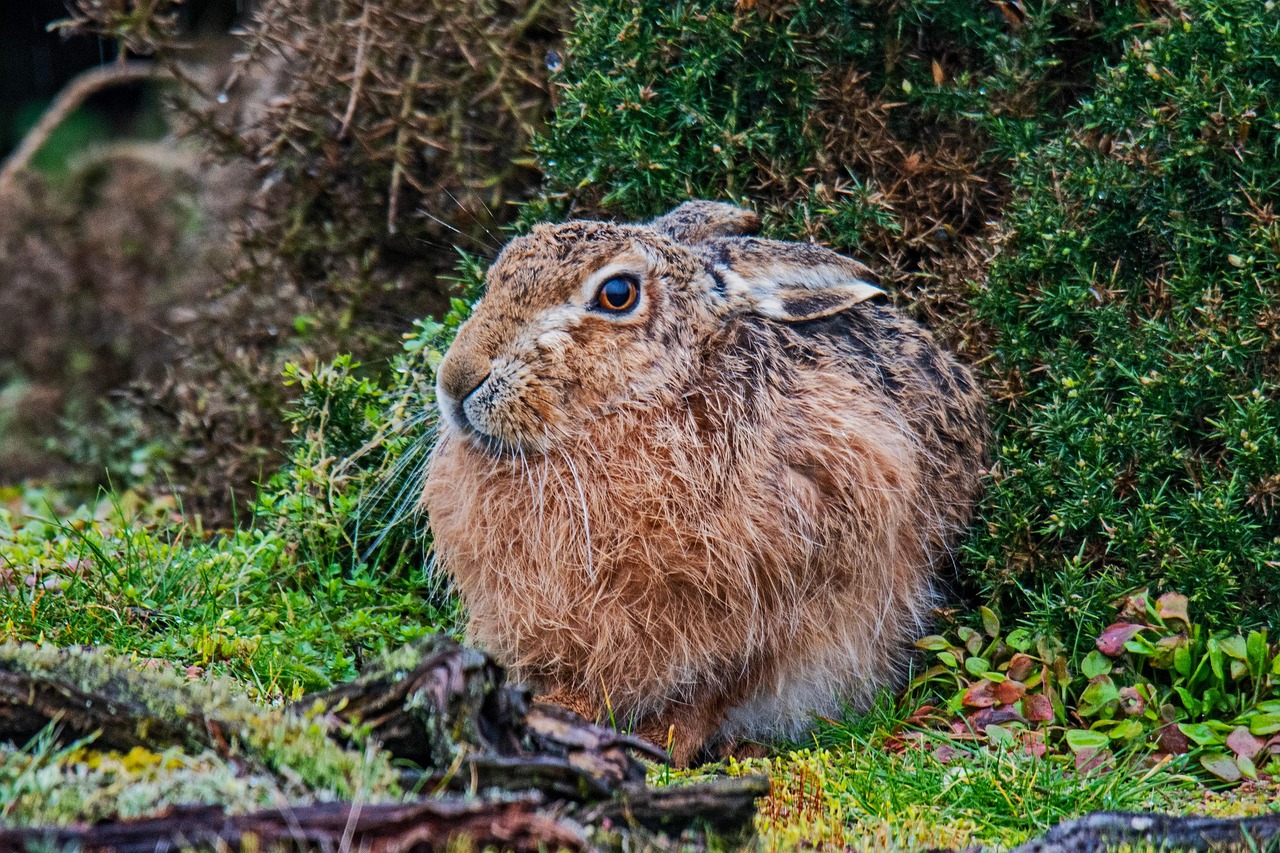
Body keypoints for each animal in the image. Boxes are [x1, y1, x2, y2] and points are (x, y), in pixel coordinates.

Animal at [422, 200, 987, 765]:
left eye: (618, 293)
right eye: (500, 270)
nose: (456, 379)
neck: (642, 402)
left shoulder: (774, 610)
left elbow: (711, 691)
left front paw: (653, 745)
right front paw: (558, 713)